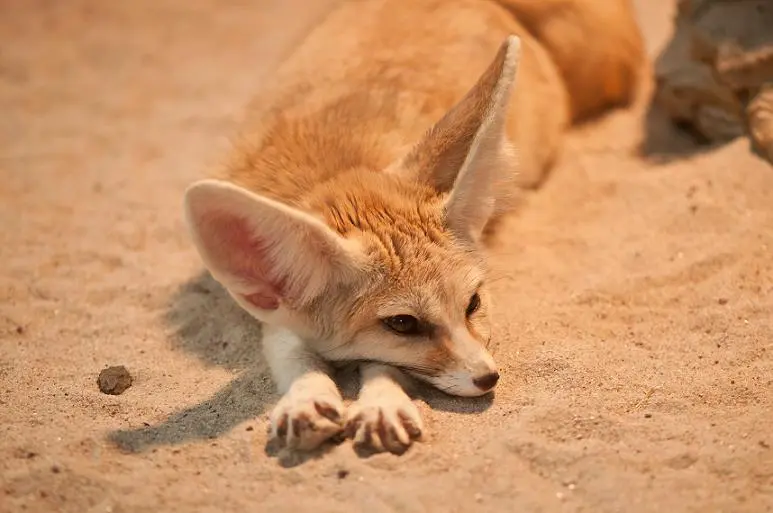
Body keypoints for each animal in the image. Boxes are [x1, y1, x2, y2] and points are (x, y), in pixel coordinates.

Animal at [183, 0, 645, 454]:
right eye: (404, 324)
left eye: (473, 303)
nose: (489, 377)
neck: (337, 168)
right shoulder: (271, 313)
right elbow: (291, 347)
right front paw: (306, 394)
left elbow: (381, 362)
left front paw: (381, 401)